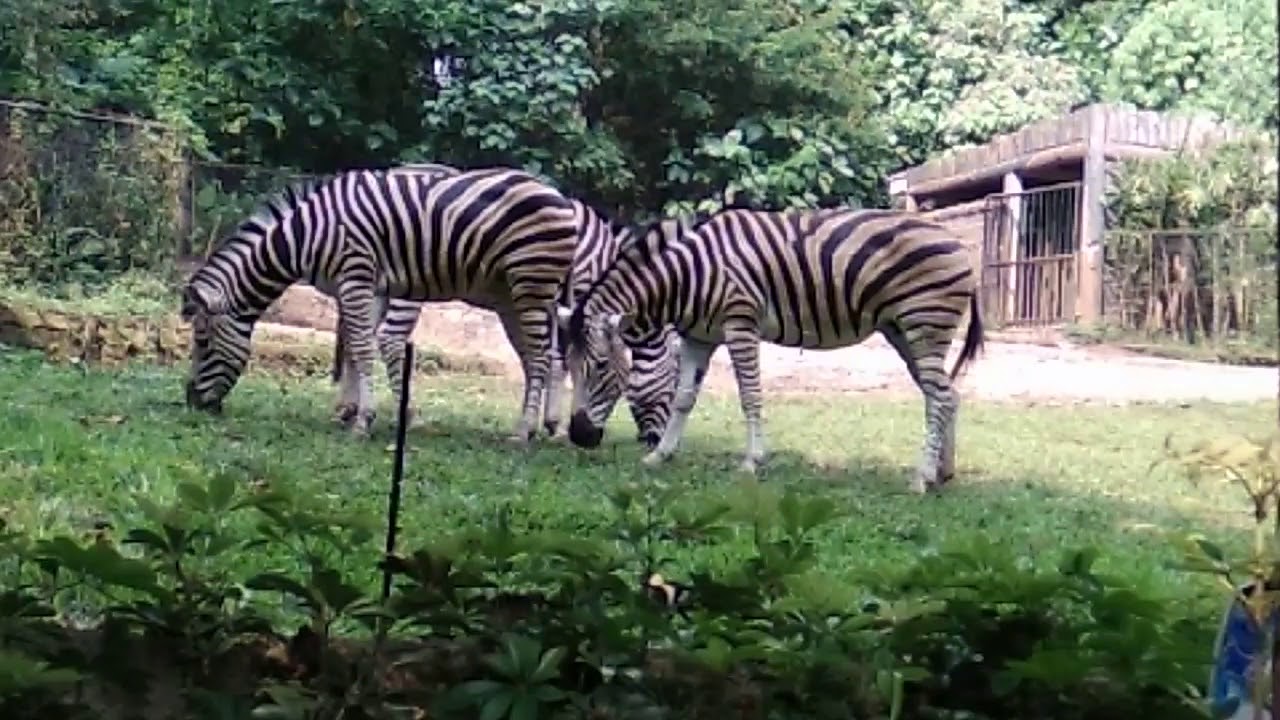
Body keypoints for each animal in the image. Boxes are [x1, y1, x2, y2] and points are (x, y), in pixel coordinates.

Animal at [180, 165, 582, 443]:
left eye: (203, 342)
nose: (192, 402)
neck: (305, 235)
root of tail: (564, 199)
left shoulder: (355, 276)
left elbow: (360, 346)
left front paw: (363, 420)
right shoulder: (365, 285)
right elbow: (356, 349)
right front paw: (355, 411)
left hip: (531, 285)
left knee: (542, 358)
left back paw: (524, 433)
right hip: (511, 295)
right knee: (534, 359)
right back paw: (529, 428)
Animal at [561, 207, 986, 494]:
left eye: (601, 366)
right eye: (569, 367)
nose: (578, 437)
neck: (687, 275)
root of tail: (959, 244)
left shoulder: (740, 324)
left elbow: (750, 396)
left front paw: (752, 461)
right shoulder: (699, 337)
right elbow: (683, 399)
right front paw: (660, 455)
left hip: (924, 326)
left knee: (940, 396)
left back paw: (921, 478)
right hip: (903, 331)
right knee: (946, 395)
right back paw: (942, 473)